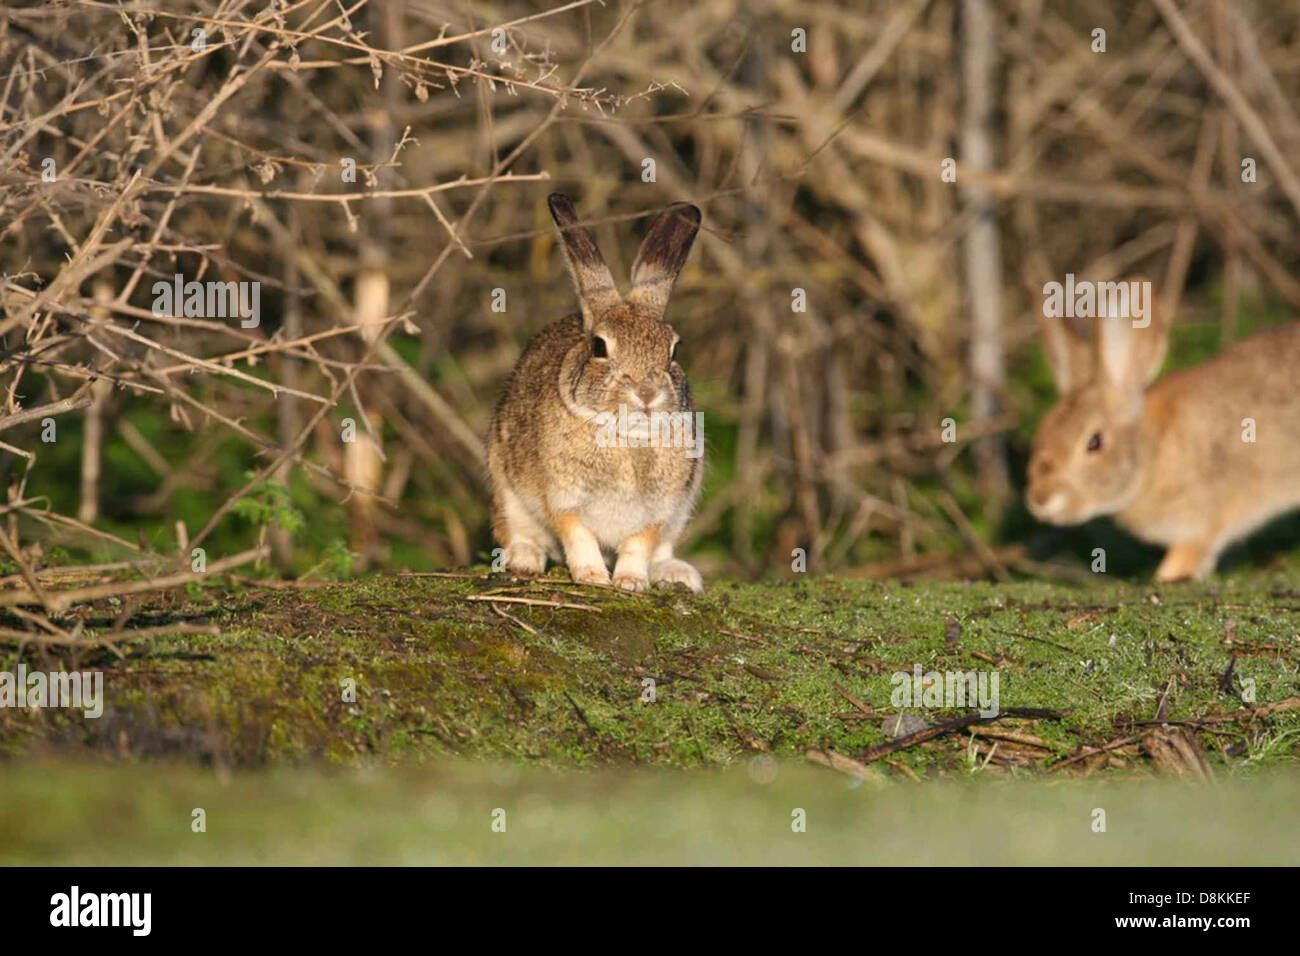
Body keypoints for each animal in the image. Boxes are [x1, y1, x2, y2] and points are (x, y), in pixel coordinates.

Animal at [486, 193, 705, 593]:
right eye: (599, 347)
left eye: (674, 350)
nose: (646, 393)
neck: (626, 436)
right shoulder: (562, 498)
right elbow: (578, 536)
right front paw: (592, 576)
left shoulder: (660, 510)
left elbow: (639, 545)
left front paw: (631, 582)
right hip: (506, 488)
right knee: (516, 531)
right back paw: (524, 560)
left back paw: (677, 574)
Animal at [1026, 277, 1300, 581]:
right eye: (1043, 429)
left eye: (1094, 442)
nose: (1040, 499)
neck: (1151, 455)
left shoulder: (1204, 520)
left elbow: (1187, 556)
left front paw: (1166, 576)